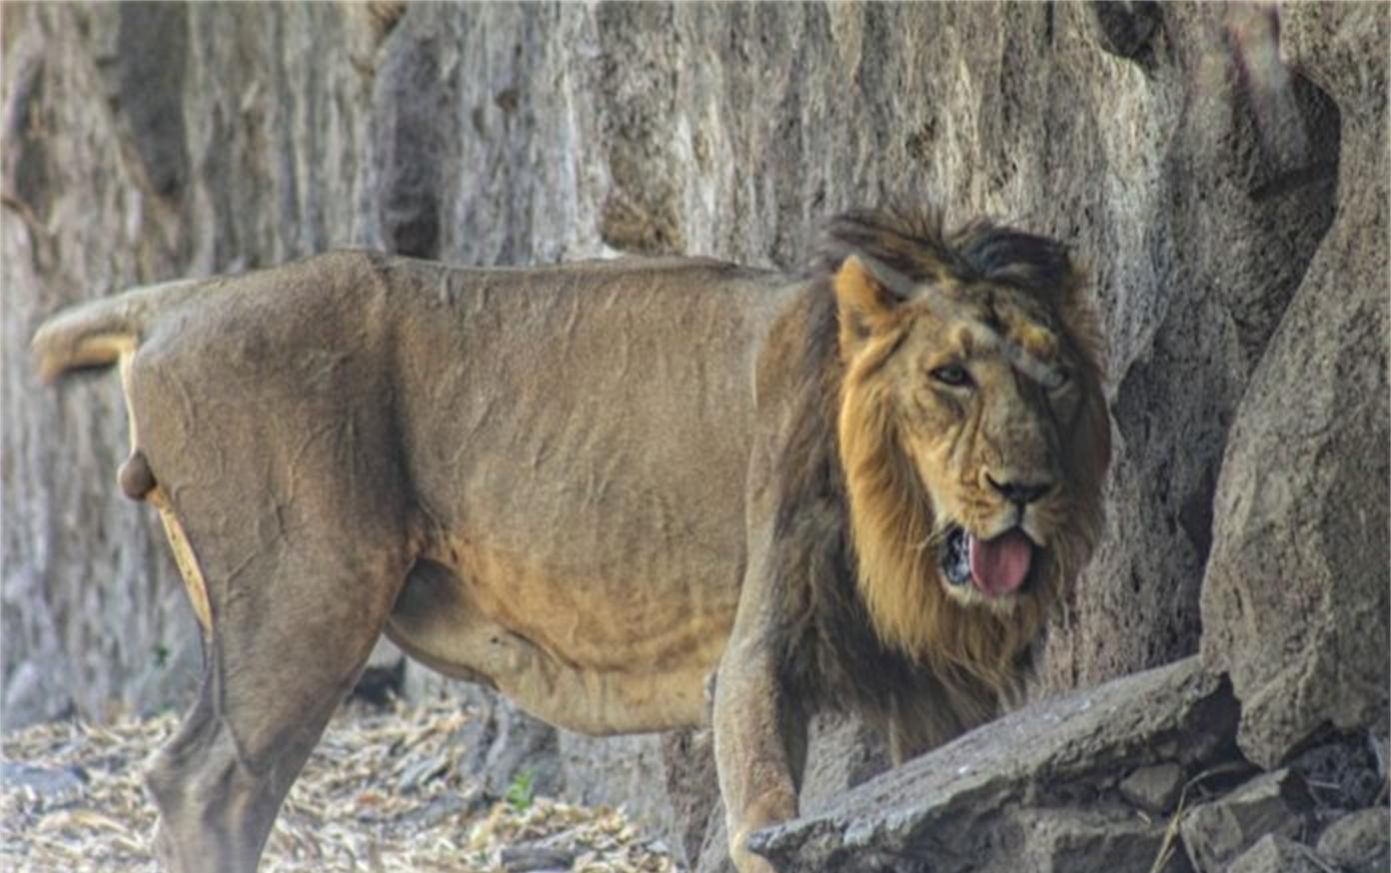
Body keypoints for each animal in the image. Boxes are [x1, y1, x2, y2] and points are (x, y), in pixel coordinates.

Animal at [32, 207, 1110, 873]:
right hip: (308, 593)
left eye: (1053, 378)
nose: (1025, 490)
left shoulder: (936, 689)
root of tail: (178, 298)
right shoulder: (756, 649)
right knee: (208, 782)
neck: (901, 541)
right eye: (948, 376)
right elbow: (766, 816)